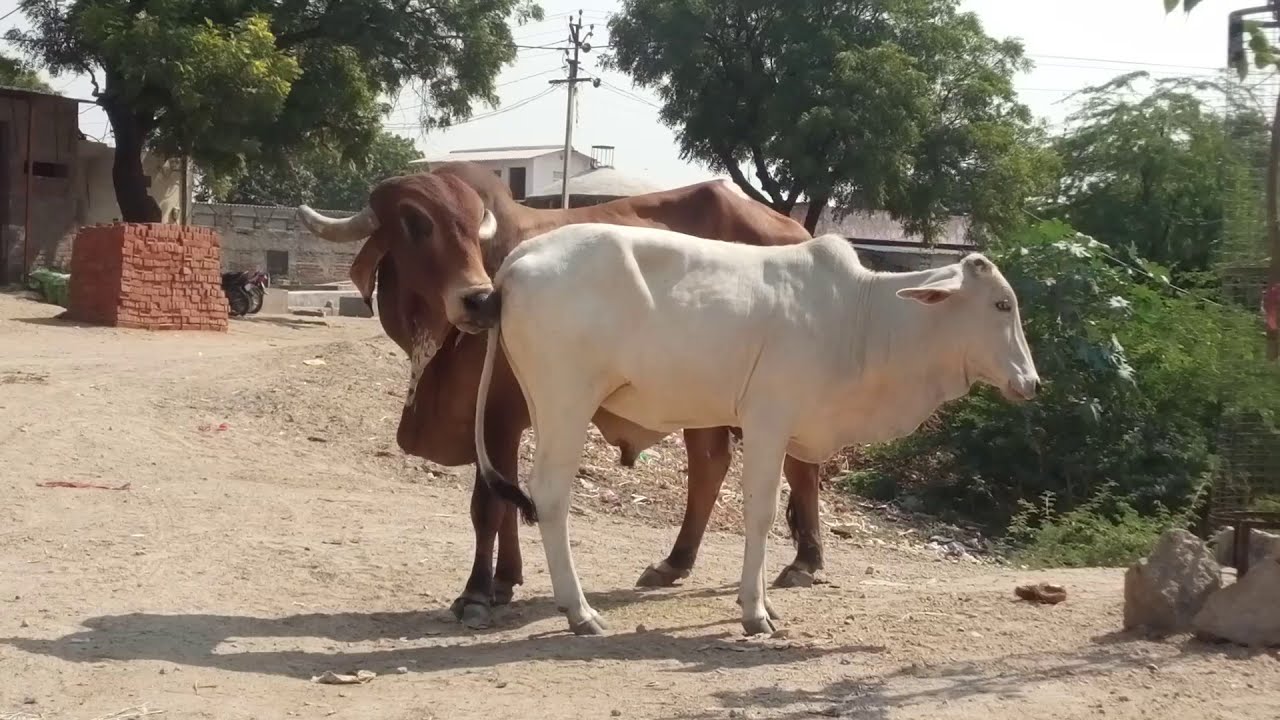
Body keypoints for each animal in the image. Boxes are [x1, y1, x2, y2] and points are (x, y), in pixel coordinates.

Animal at [295, 163, 828, 628]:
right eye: (413, 223)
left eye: (469, 225)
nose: (479, 299)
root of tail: (796, 231)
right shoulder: (499, 424)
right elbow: (508, 499)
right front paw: (505, 580)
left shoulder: (498, 415)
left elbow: (489, 506)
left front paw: (476, 593)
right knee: (710, 464)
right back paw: (675, 562)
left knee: (800, 468)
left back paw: (806, 561)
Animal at [471, 222, 1041, 636]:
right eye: (1002, 303)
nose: (1032, 383)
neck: (864, 320)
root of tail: (518, 259)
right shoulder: (768, 420)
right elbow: (761, 514)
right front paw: (754, 611)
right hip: (566, 401)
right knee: (550, 495)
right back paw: (579, 611)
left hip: (542, 401)